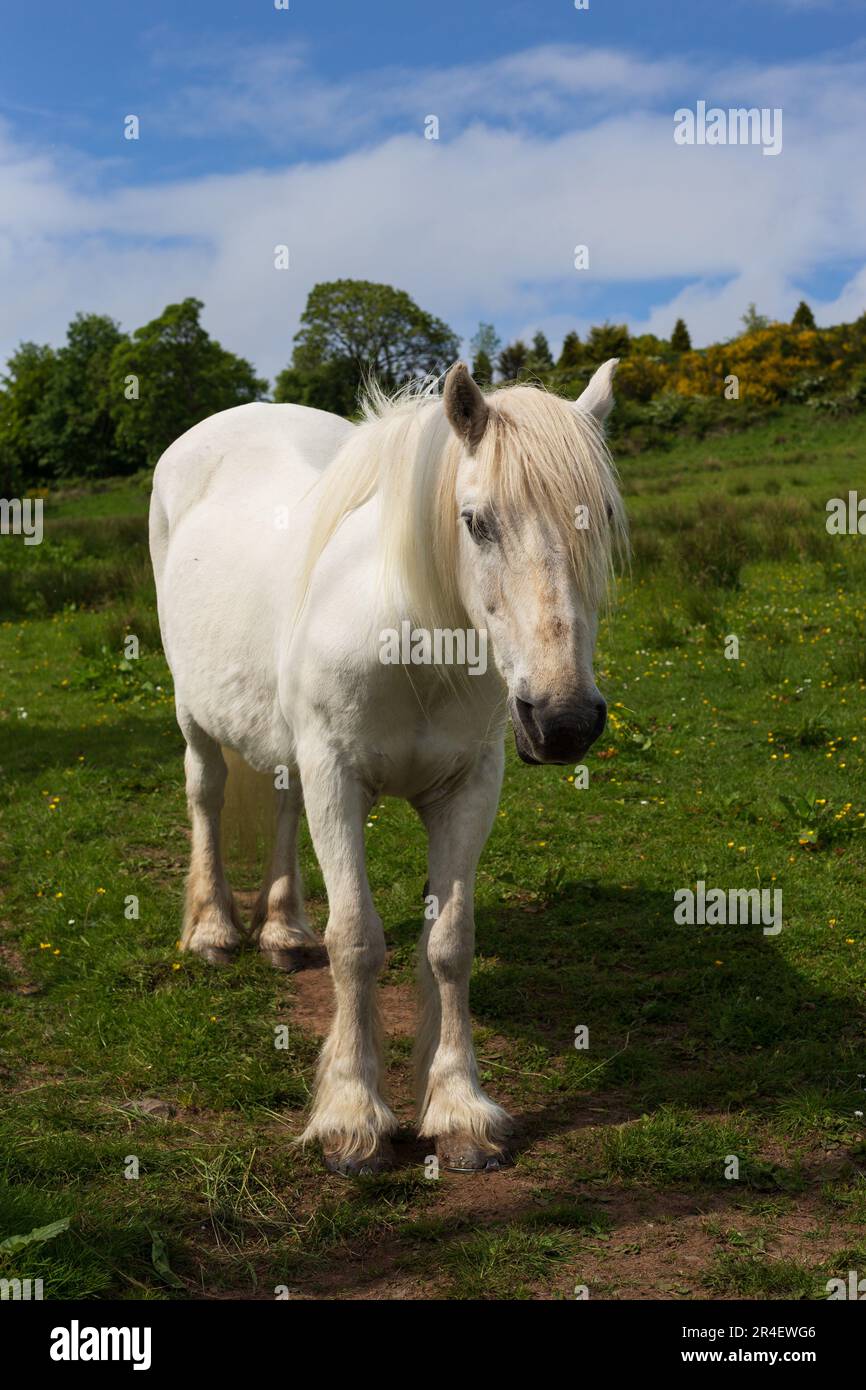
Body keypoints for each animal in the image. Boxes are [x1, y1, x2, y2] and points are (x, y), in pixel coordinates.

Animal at [148, 358, 626, 1174]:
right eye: (475, 521)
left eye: (595, 515)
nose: (564, 721)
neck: (412, 642)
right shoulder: (338, 780)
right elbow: (357, 943)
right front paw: (351, 1118)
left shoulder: (469, 790)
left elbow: (449, 944)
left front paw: (459, 1109)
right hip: (195, 715)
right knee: (205, 795)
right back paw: (214, 931)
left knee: (282, 808)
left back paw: (282, 931)